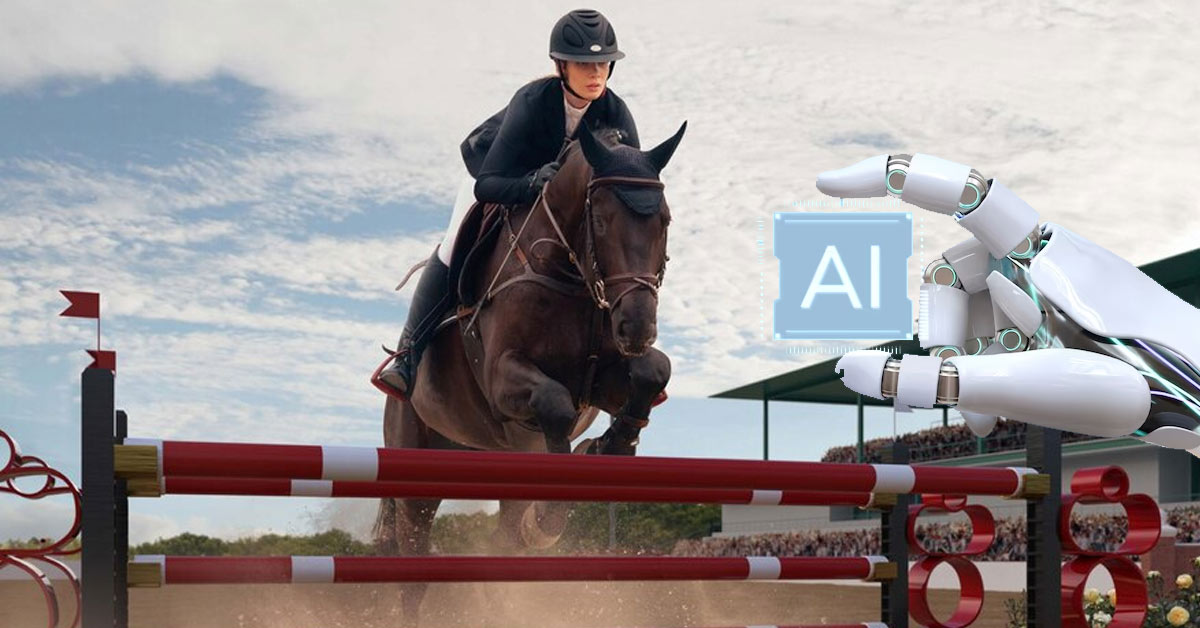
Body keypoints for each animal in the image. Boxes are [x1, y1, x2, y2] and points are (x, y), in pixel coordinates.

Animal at [372, 120, 686, 623]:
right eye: (600, 220)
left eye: (665, 221)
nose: (638, 327)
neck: (572, 275)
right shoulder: (505, 379)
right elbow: (553, 404)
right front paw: (551, 514)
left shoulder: (604, 380)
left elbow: (653, 372)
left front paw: (609, 448)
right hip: (417, 460)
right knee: (412, 559)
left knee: (503, 539)